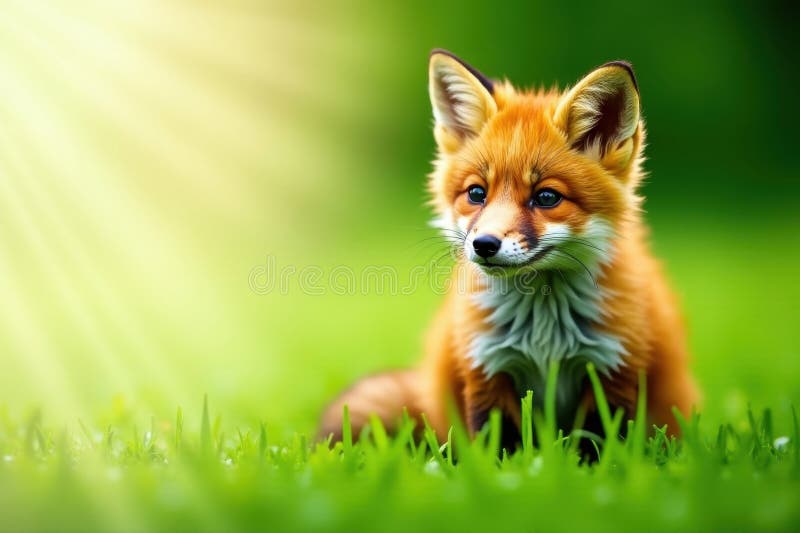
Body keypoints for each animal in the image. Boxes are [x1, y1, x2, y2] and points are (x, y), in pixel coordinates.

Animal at [319, 50, 699, 448]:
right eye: (476, 193)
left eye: (546, 197)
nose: (484, 244)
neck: (545, 331)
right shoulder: (487, 367)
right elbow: (499, 448)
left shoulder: (612, 368)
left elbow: (596, 448)